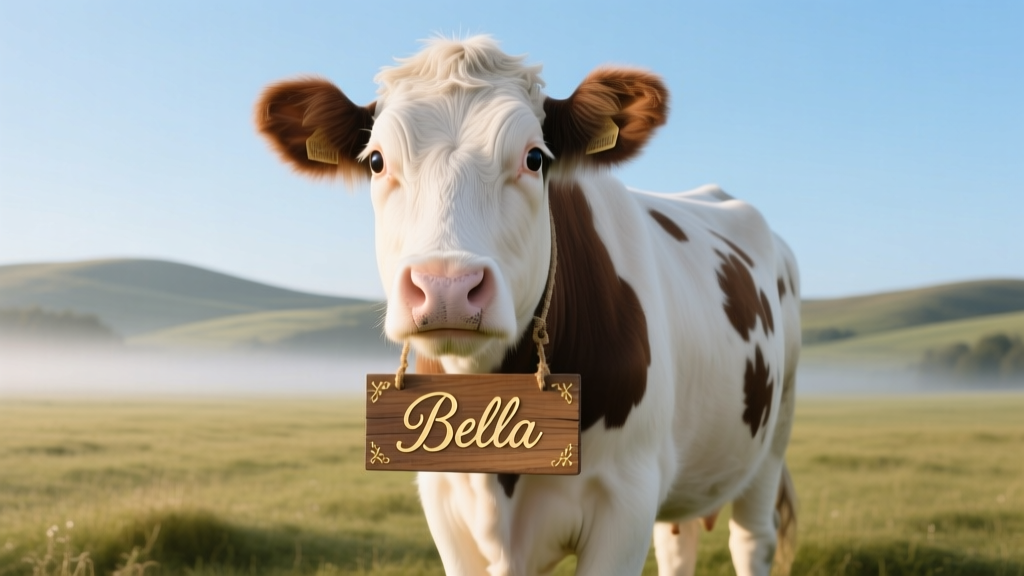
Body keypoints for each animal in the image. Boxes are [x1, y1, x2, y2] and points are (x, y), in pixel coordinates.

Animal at [255, 36, 800, 576]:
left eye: (535, 158)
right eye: (376, 161)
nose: (447, 287)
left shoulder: (627, 500)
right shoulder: (443, 502)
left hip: (773, 439)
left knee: (751, 539)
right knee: (678, 546)